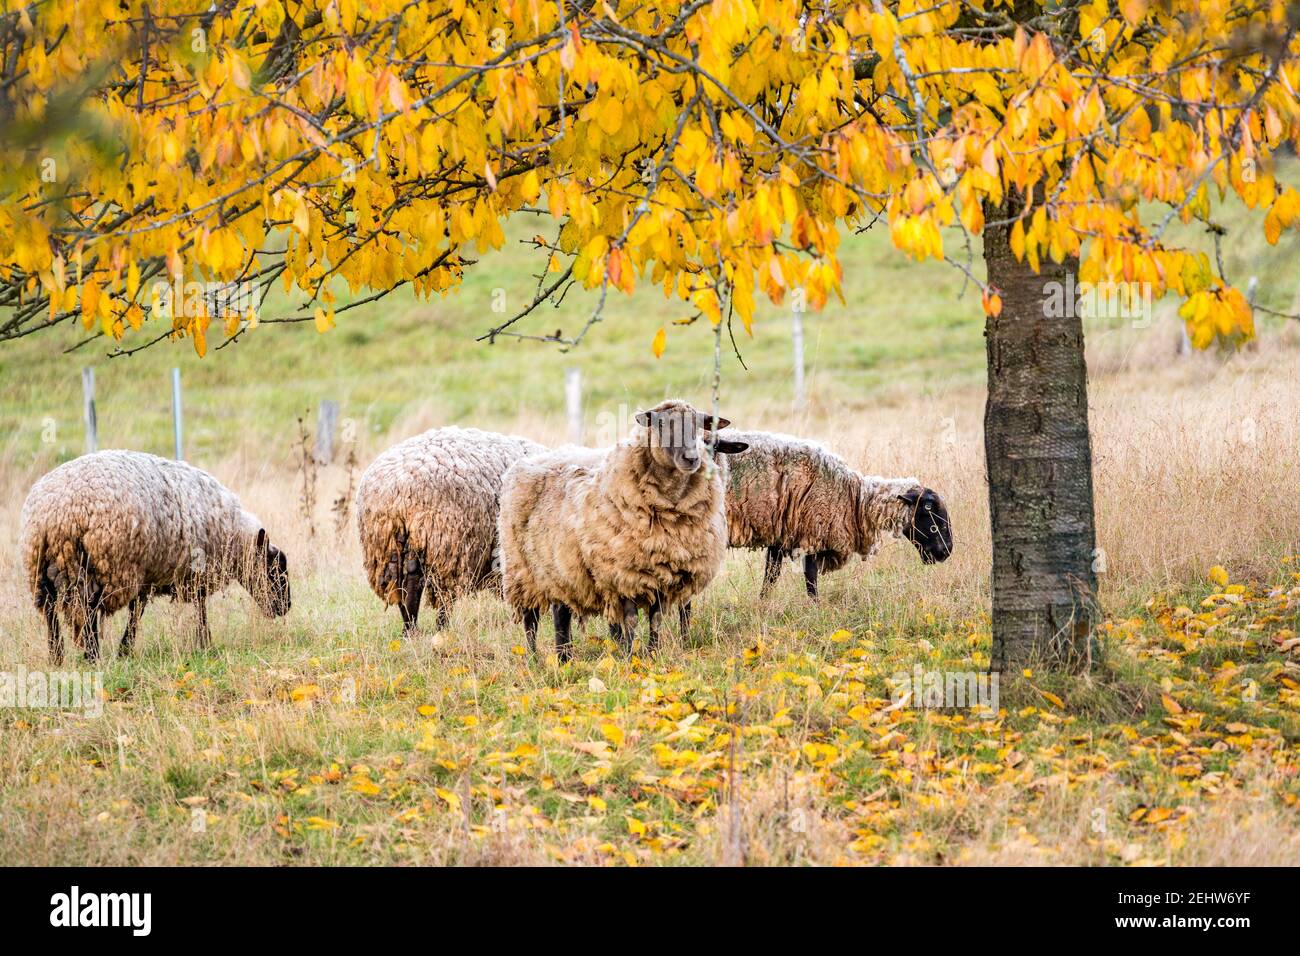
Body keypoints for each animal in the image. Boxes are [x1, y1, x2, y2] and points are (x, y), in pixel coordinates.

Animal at [19, 450, 292, 662]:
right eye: (275, 568)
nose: (285, 608)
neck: (234, 537)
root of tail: (56, 513)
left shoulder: (152, 574)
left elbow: (140, 612)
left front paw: (126, 649)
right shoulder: (185, 572)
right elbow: (191, 608)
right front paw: (204, 642)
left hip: (42, 570)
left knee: (51, 612)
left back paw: (57, 656)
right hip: (103, 567)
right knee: (87, 611)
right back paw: (91, 655)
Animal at [356, 426, 546, 632]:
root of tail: (394, 492)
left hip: (387, 545)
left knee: (400, 588)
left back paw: (409, 629)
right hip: (440, 542)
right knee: (426, 590)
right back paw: (432, 628)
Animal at [497, 399, 748, 660]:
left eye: (699, 426)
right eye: (660, 424)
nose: (691, 458)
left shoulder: (665, 573)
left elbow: (656, 619)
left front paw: (652, 654)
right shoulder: (624, 573)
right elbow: (629, 621)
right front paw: (629, 657)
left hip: (561, 570)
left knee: (561, 612)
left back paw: (565, 657)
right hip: (522, 571)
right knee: (531, 620)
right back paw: (534, 658)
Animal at [717, 430, 951, 597]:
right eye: (928, 509)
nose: (946, 552)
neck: (855, 497)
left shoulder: (781, 534)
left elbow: (770, 576)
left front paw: (763, 604)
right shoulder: (814, 531)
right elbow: (810, 579)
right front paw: (815, 609)